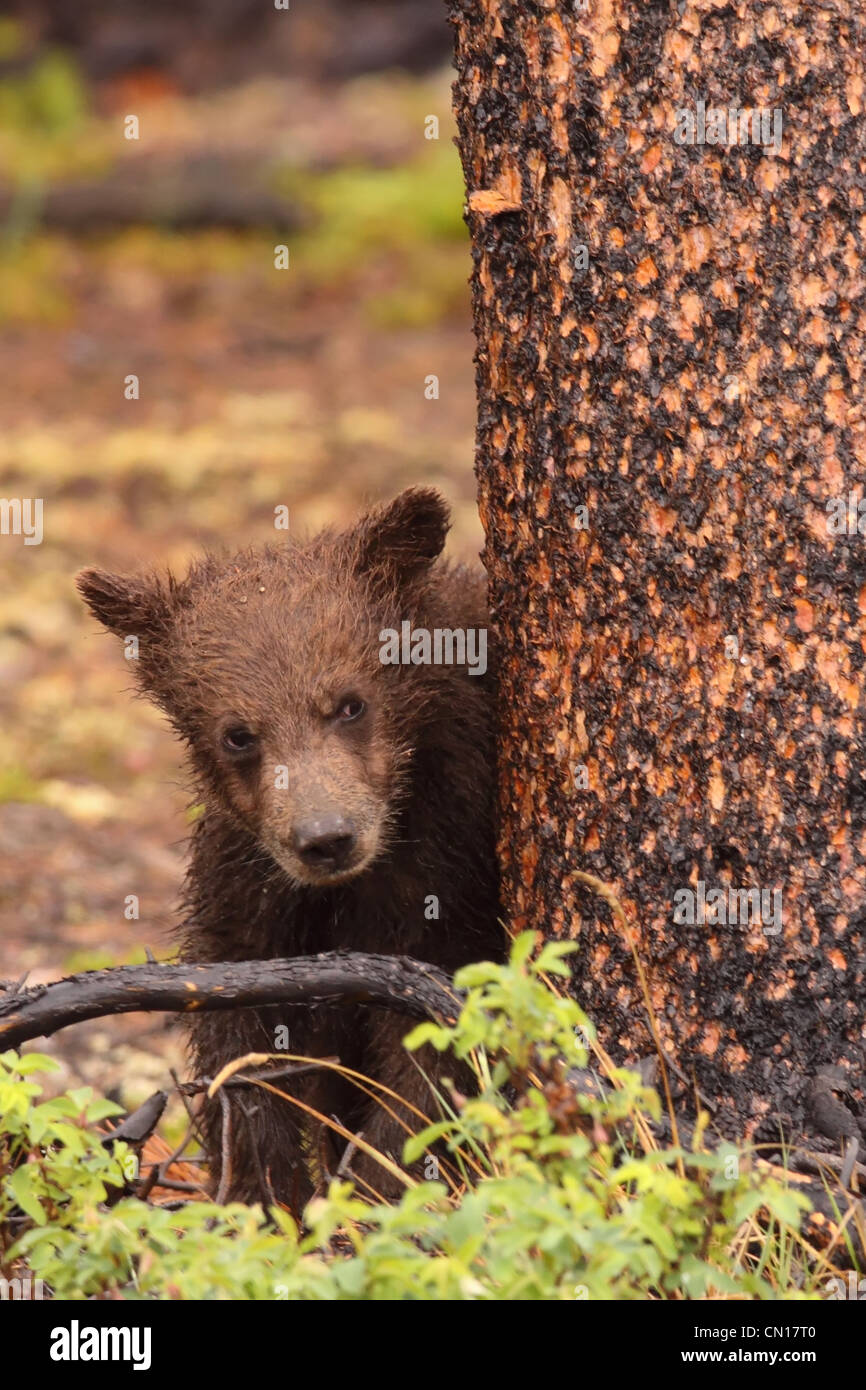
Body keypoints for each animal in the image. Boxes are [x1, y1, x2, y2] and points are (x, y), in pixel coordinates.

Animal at [77, 488, 502, 1210]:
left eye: (351, 703)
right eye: (238, 733)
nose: (326, 838)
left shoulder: (453, 871)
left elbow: (433, 1058)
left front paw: (373, 1187)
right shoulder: (254, 885)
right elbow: (239, 1036)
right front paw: (271, 1186)